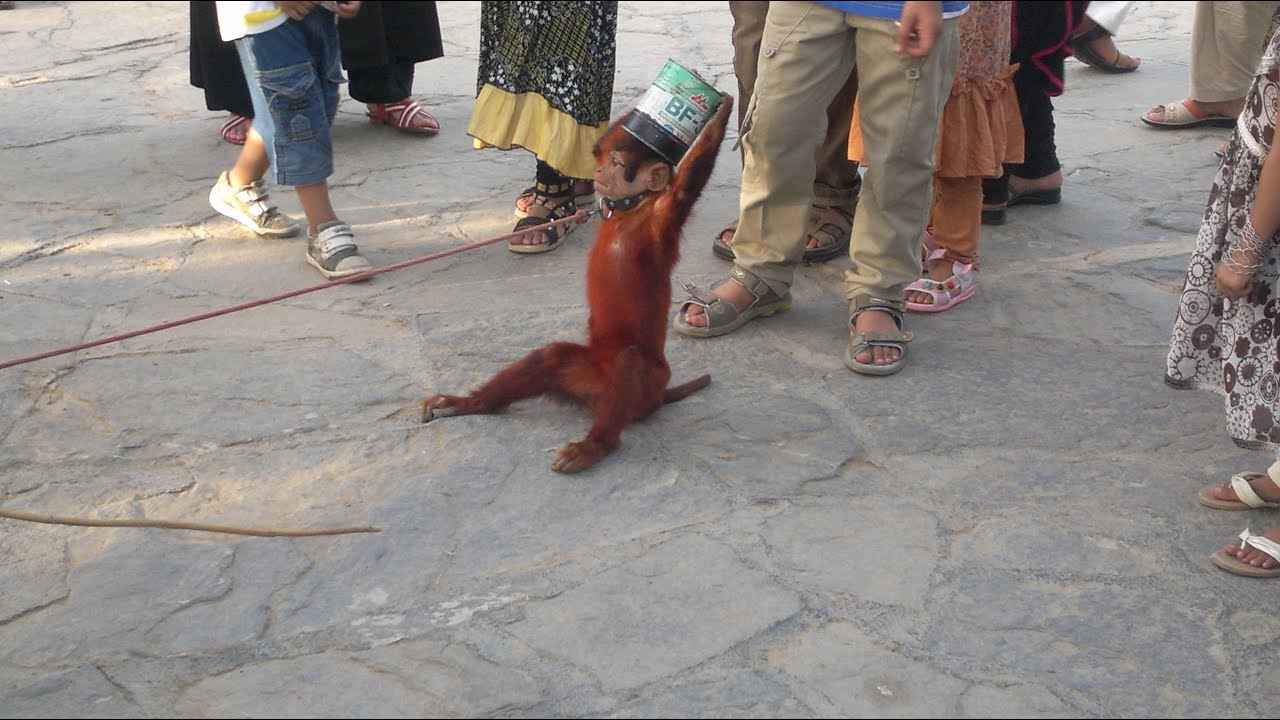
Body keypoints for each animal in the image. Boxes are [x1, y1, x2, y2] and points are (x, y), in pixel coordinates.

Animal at [420, 96, 734, 473]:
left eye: (617, 164)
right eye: (607, 161)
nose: (599, 174)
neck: (631, 212)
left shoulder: (663, 216)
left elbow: (687, 184)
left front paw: (721, 110)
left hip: (644, 389)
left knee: (629, 361)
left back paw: (596, 445)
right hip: (587, 376)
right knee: (552, 357)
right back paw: (471, 404)